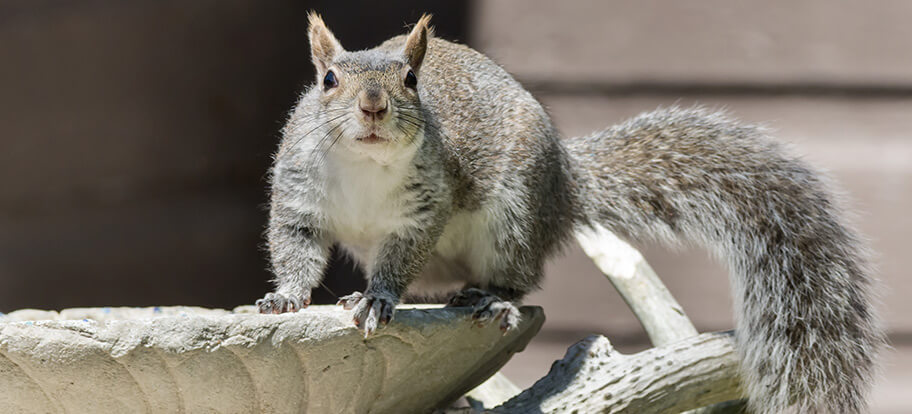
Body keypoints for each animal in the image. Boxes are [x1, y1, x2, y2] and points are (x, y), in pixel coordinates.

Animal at [256, 13, 883, 414]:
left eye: (411, 80)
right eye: (328, 80)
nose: (373, 106)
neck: (365, 164)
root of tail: (564, 183)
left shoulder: (423, 208)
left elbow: (398, 258)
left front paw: (378, 299)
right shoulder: (298, 198)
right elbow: (295, 248)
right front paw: (286, 298)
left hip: (514, 219)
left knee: (518, 277)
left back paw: (492, 300)